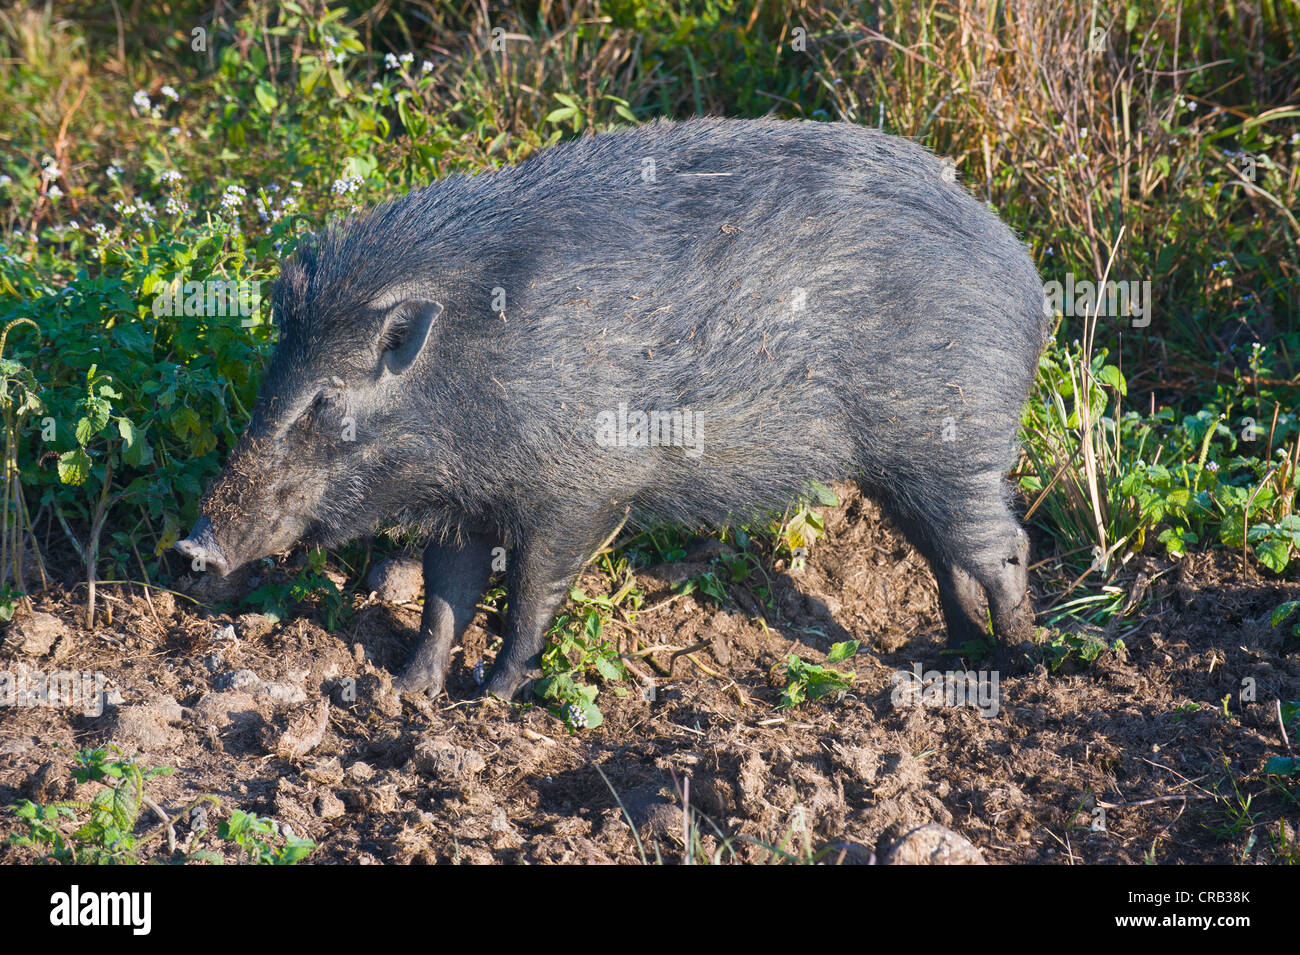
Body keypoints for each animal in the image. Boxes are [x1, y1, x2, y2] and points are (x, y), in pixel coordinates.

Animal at [177, 117, 1050, 701]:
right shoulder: (466, 504)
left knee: (1005, 546)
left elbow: (530, 595)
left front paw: (492, 698)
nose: (192, 547)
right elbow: (442, 600)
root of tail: (1026, 273)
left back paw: (1019, 661)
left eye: (328, 397)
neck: (470, 372)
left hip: (949, 440)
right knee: (947, 553)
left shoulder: (582, 490)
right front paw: (408, 691)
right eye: (273, 378)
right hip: (906, 467)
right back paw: (953, 653)